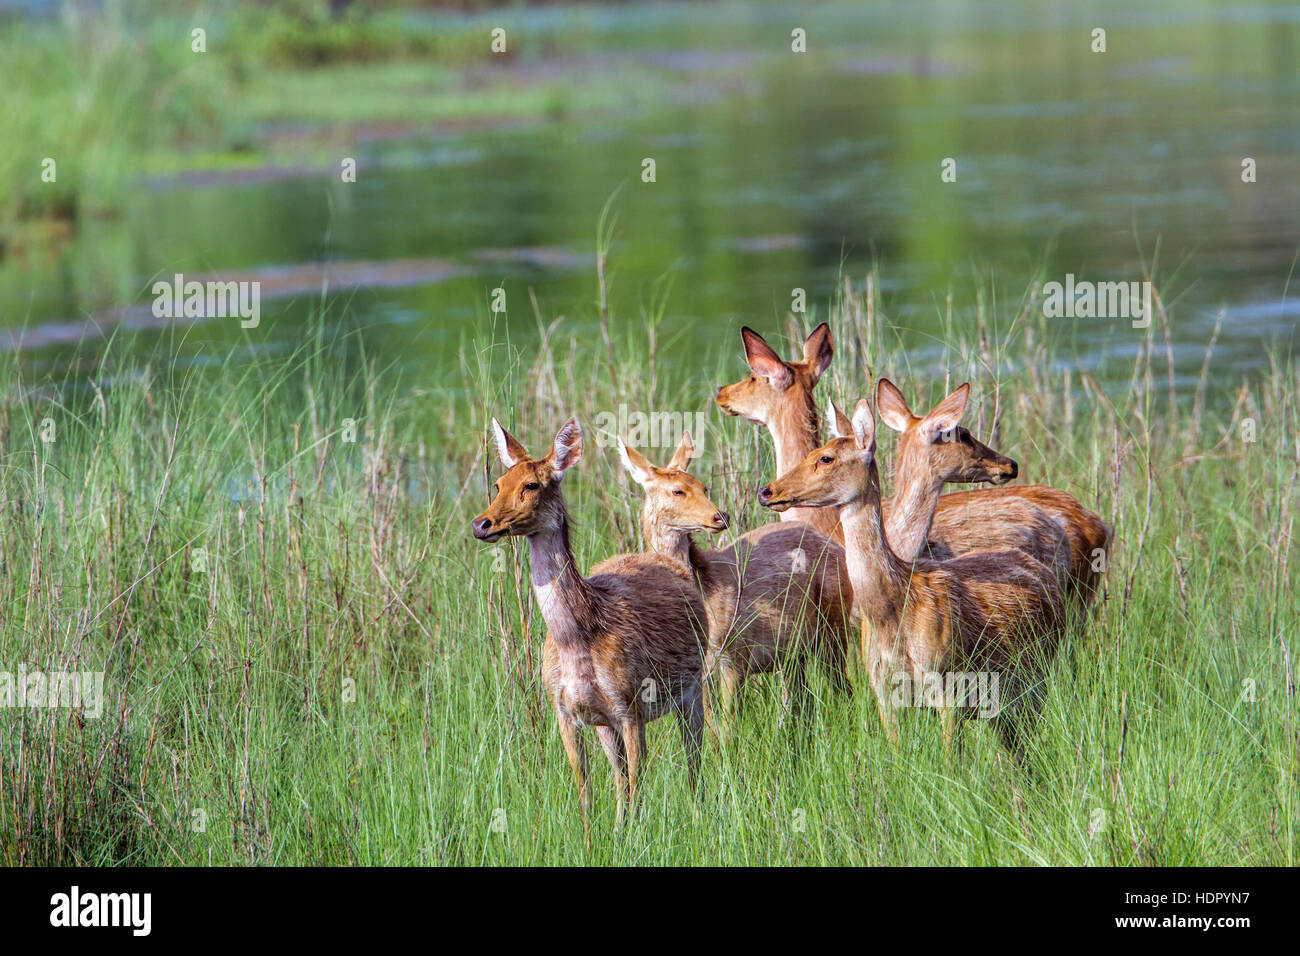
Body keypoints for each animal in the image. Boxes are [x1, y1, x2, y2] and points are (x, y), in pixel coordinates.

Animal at [471, 416, 708, 832]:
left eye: (532, 484)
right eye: (498, 483)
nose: (481, 523)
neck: (579, 637)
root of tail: (672, 563)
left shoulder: (630, 705)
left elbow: (639, 784)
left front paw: (637, 838)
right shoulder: (566, 711)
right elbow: (586, 789)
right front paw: (594, 837)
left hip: (692, 688)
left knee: (695, 763)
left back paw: (698, 819)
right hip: (606, 724)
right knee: (620, 778)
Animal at [617, 431, 853, 737]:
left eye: (704, 486)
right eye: (677, 491)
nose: (720, 516)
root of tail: (834, 544)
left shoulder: (737, 654)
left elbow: (729, 727)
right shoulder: (701, 671)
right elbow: (712, 728)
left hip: (834, 626)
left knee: (843, 689)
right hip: (795, 652)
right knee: (801, 702)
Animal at [757, 392, 1068, 764]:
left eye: (826, 458)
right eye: (811, 452)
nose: (767, 491)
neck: (893, 608)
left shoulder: (950, 682)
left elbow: (951, 761)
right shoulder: (883, 692)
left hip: (1038, 675)